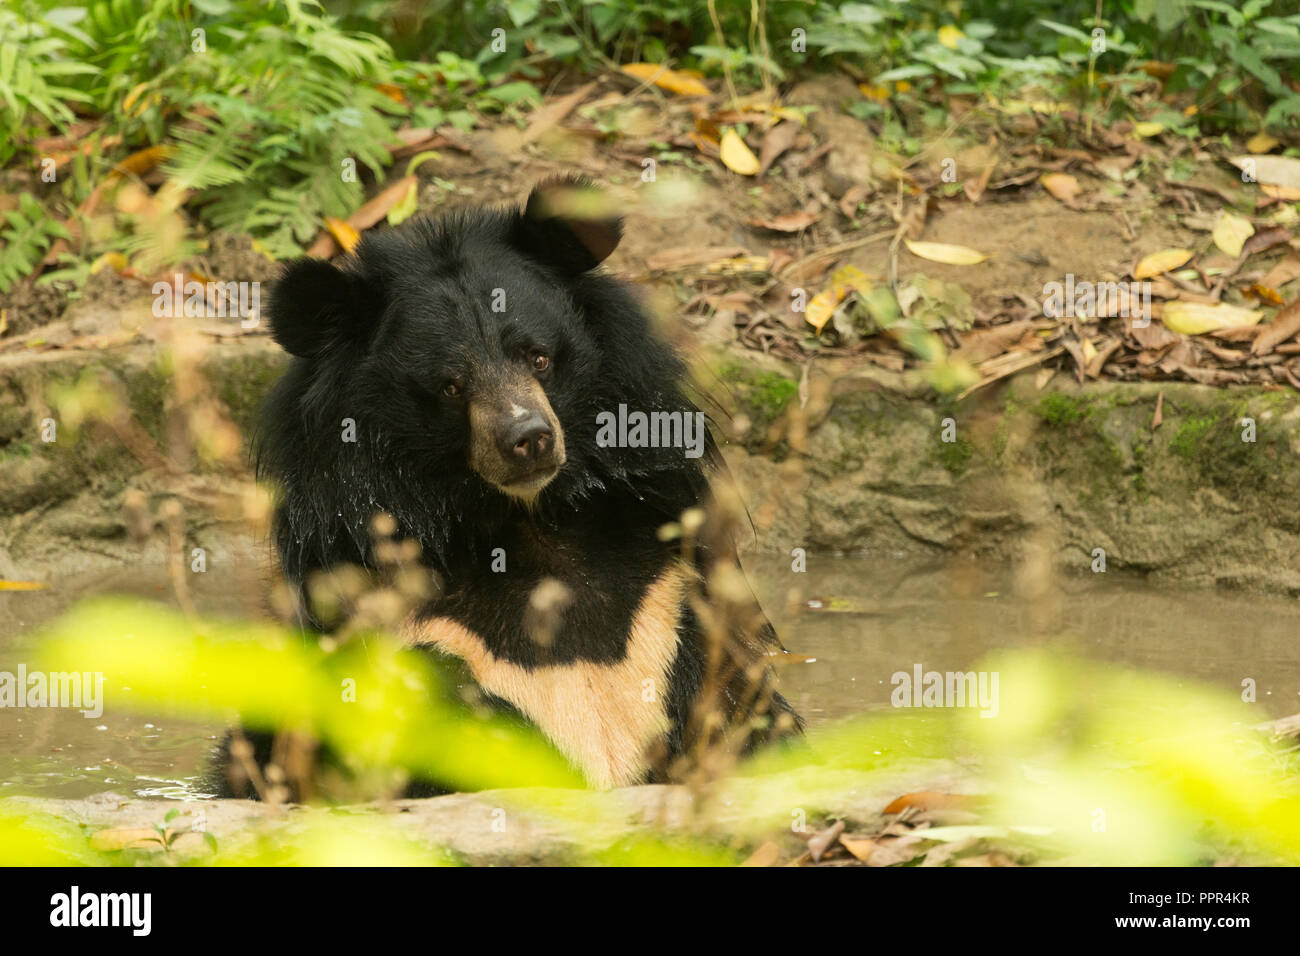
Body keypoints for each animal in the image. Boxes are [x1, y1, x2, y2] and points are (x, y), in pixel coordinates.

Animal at [215, 177, 802, 799]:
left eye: (538, 356)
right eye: (450, 385)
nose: (529, 438)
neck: (525, 521)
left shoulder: (667, 607)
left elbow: (743, 715)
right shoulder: (409, 633)